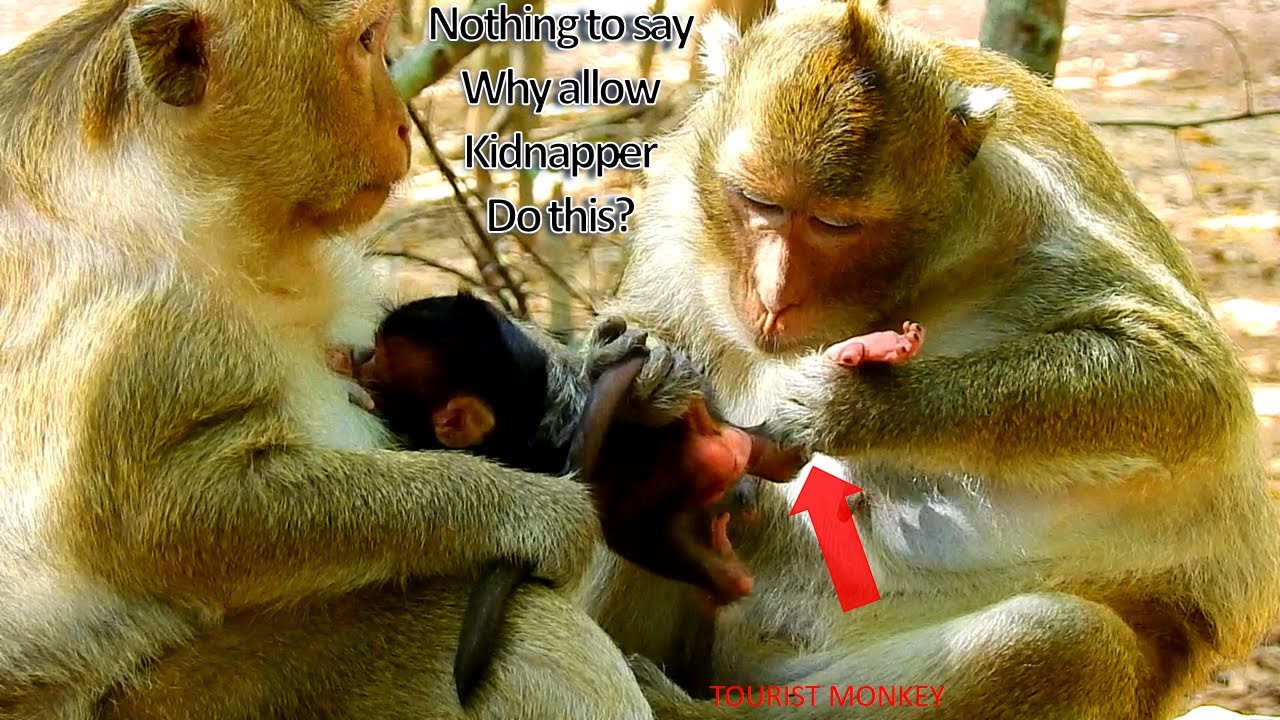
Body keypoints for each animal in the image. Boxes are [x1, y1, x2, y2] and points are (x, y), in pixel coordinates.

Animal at [0, 1, 746, 717]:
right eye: (365, 42)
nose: (402, 127)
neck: (187, 189)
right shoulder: (137, 321)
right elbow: (169, 516)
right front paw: (535, 512)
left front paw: (624, 381)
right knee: (531, 632)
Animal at [578, 2, 1280, 719]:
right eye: (758, 202)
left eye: (835, 225)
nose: (774, 297)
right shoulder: (677, 208)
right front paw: (652, 370)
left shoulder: (1025, 207)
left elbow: (1184, 377)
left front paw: (855, 406)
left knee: (1069, 640)